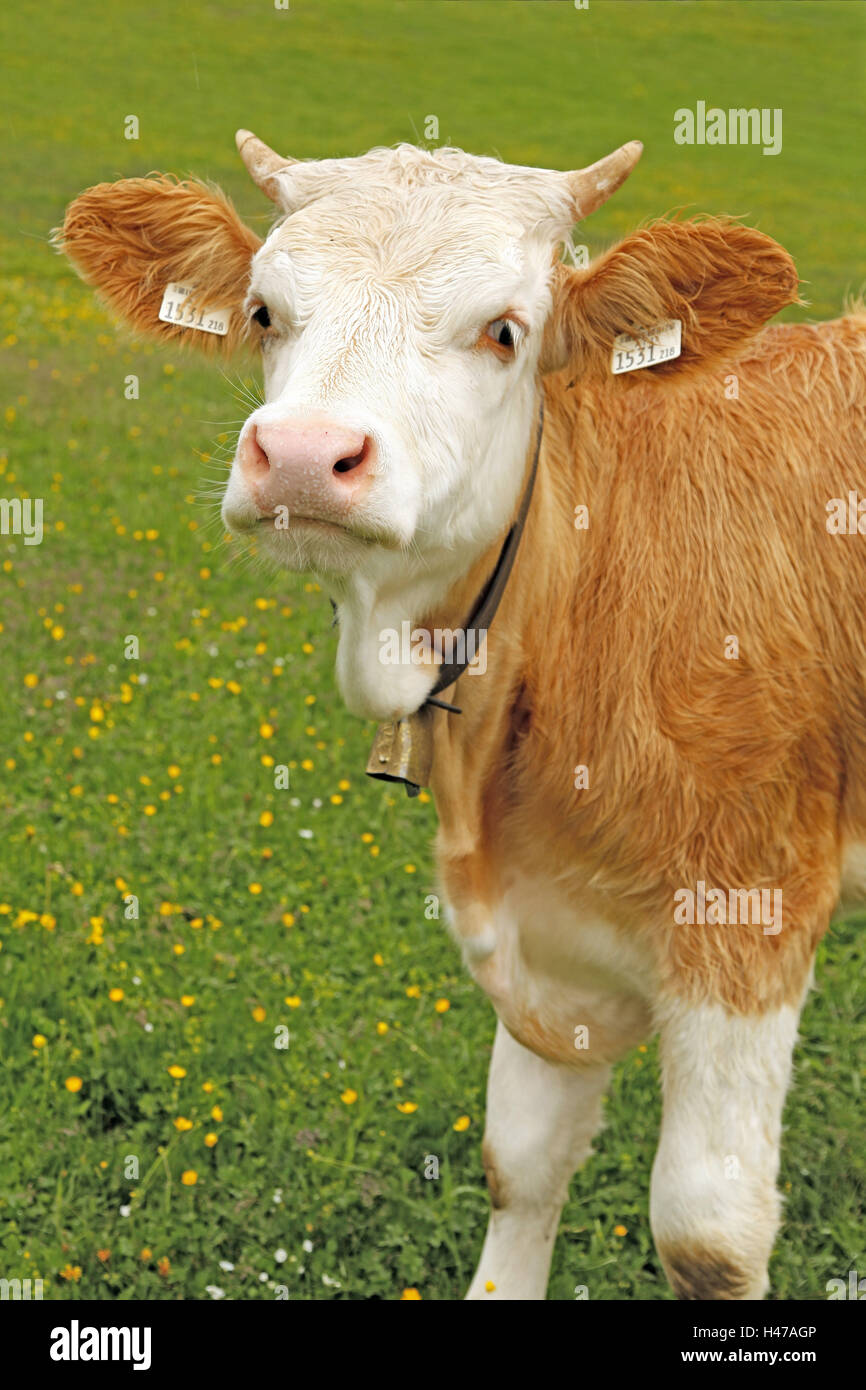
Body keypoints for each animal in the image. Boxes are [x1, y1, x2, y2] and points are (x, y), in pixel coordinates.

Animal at [57, 132, 866, 1301]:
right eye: (263, 311)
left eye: (503, 331)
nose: (302, 456)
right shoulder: (545, 931)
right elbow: (517, 1163)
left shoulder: (745, 911)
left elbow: (707, 1234)